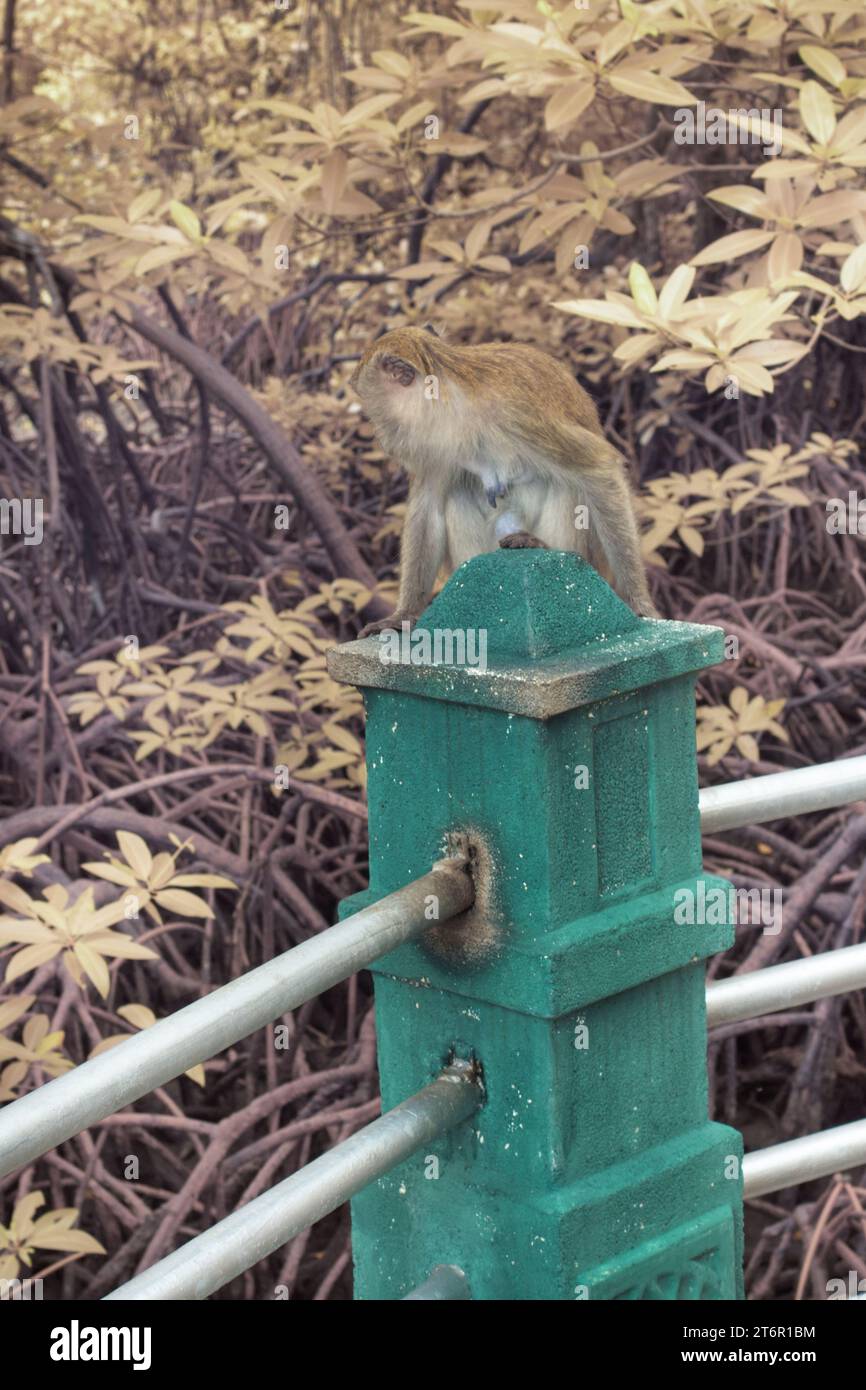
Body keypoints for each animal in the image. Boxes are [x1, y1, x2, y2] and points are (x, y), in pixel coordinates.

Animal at [349, 324, 659, 636]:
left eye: (374, 410)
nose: (380, 434)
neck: (456, 403)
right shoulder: (436, 443)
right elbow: (428, 507)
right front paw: (404, 614)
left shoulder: (520, 415)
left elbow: (598, 468)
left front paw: (639, 602)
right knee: (457, 494)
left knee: (570, 487)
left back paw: (538, 544)